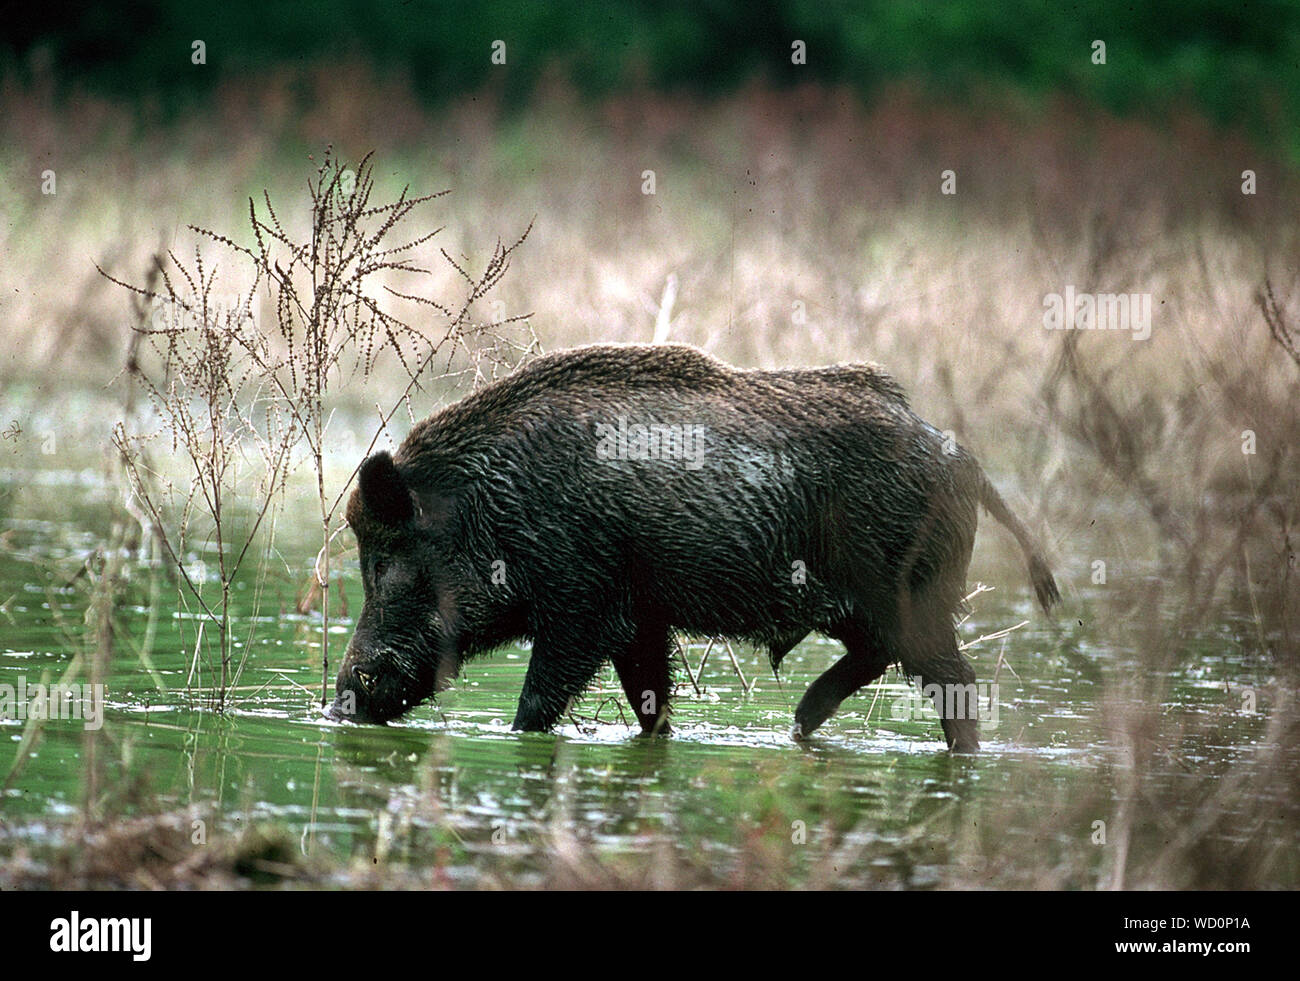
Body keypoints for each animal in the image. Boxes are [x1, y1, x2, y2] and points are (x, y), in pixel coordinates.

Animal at [324, 343, 1059, 752]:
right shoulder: (639, 618)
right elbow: (650, 701)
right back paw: (800, 724)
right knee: (883, 657)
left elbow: (537, 705)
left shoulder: (581, 608)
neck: (493, 503)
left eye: (386, 562)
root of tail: (965, 460)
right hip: (866, 605)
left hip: (913, 592)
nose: (338, 703)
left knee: (955, 682)